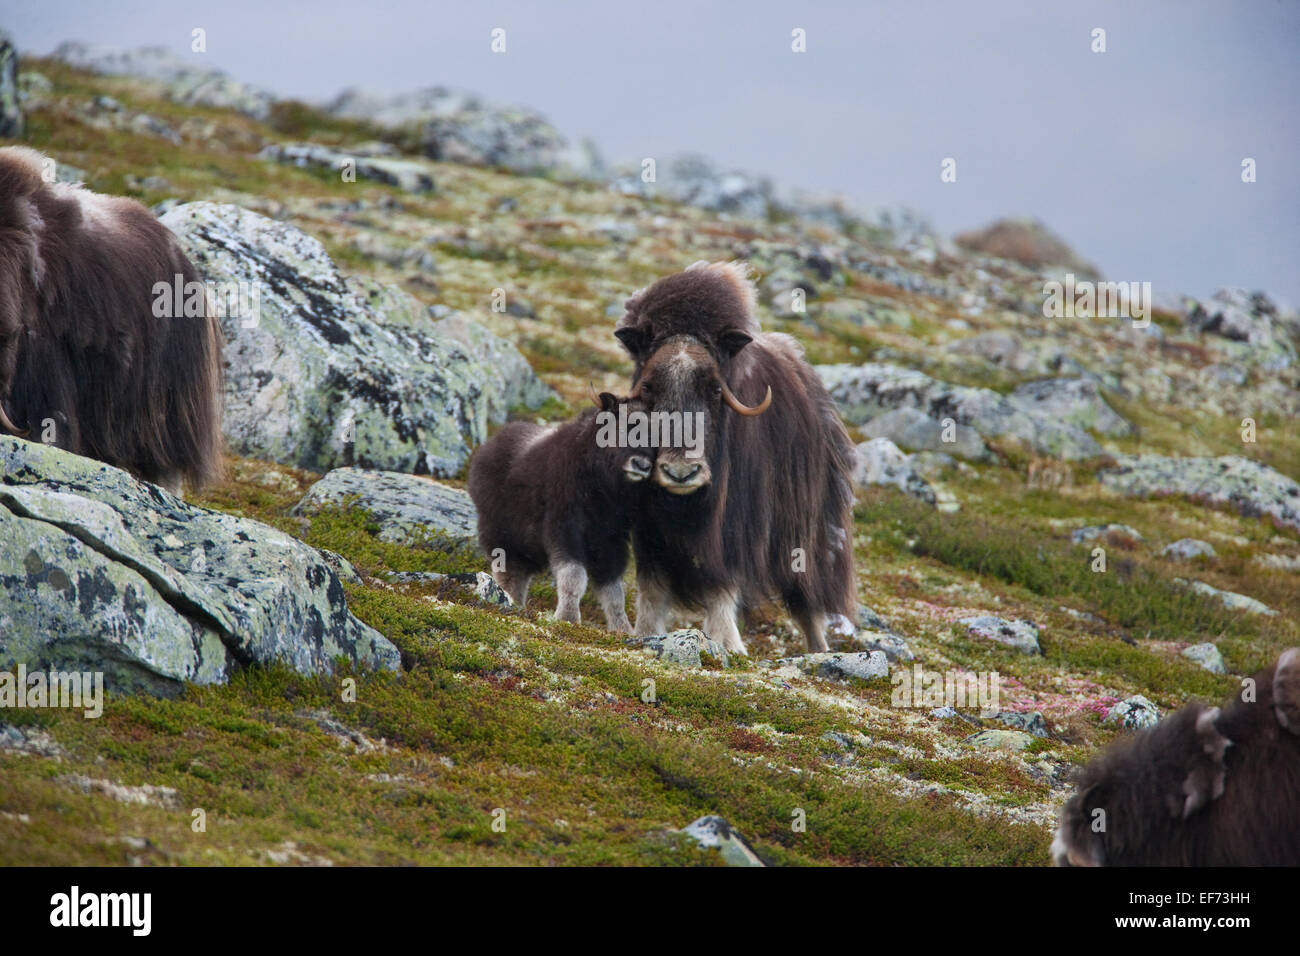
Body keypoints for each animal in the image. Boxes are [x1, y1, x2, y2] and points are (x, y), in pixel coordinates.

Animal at [467, 392, 653, 632]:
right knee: (510, 572)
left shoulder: (610, 541)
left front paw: (622, 630)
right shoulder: (565, 528)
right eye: (624, 427)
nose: (642, 465)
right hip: (502, 534)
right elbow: (574, 576)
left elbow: (613, 589)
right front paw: (568, 618)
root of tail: (487, 448)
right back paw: (511, 602)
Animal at [613, 260, 857, 655]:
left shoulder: (733, 528)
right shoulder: (650, 536)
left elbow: (721, 586)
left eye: (714, 388)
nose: (681, 472)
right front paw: (644, 633)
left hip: (806, 538)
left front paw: (728, 644)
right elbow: (652, 590)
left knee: (807, 600)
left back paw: (820, 651)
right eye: (648, 387)